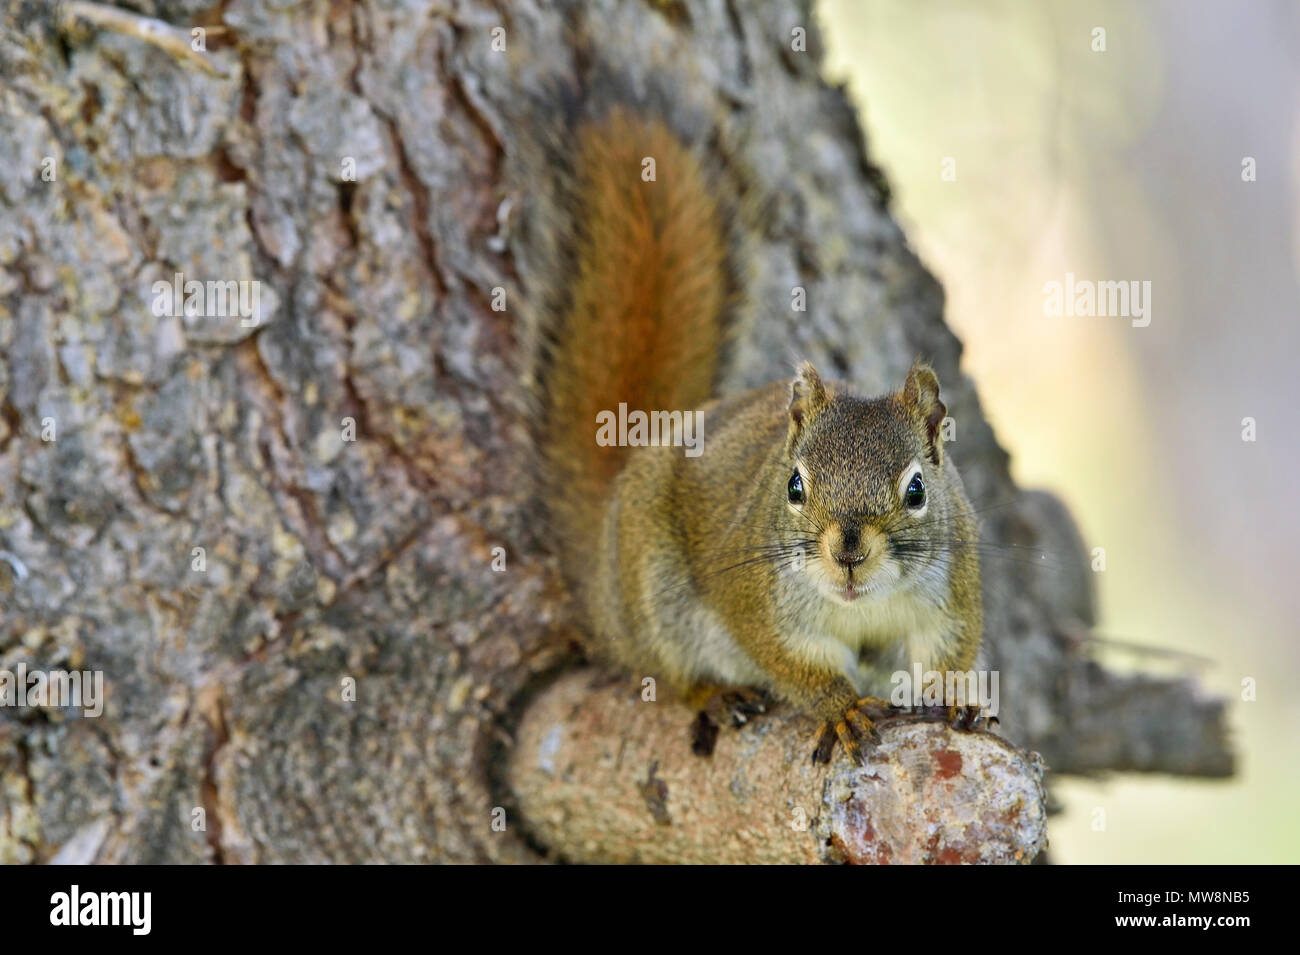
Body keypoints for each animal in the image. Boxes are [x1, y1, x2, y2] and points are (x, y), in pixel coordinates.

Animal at [519, 75, 983, 765]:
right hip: (655, 599)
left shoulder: (952, 590)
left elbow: (951, 652)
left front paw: (957, 699)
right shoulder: (758, 603)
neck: (861, 605)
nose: (847, 554)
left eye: (918, 490)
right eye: (793, 486)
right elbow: (796, 667)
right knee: (670, 672)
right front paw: (840, 708)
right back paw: (714, 694)